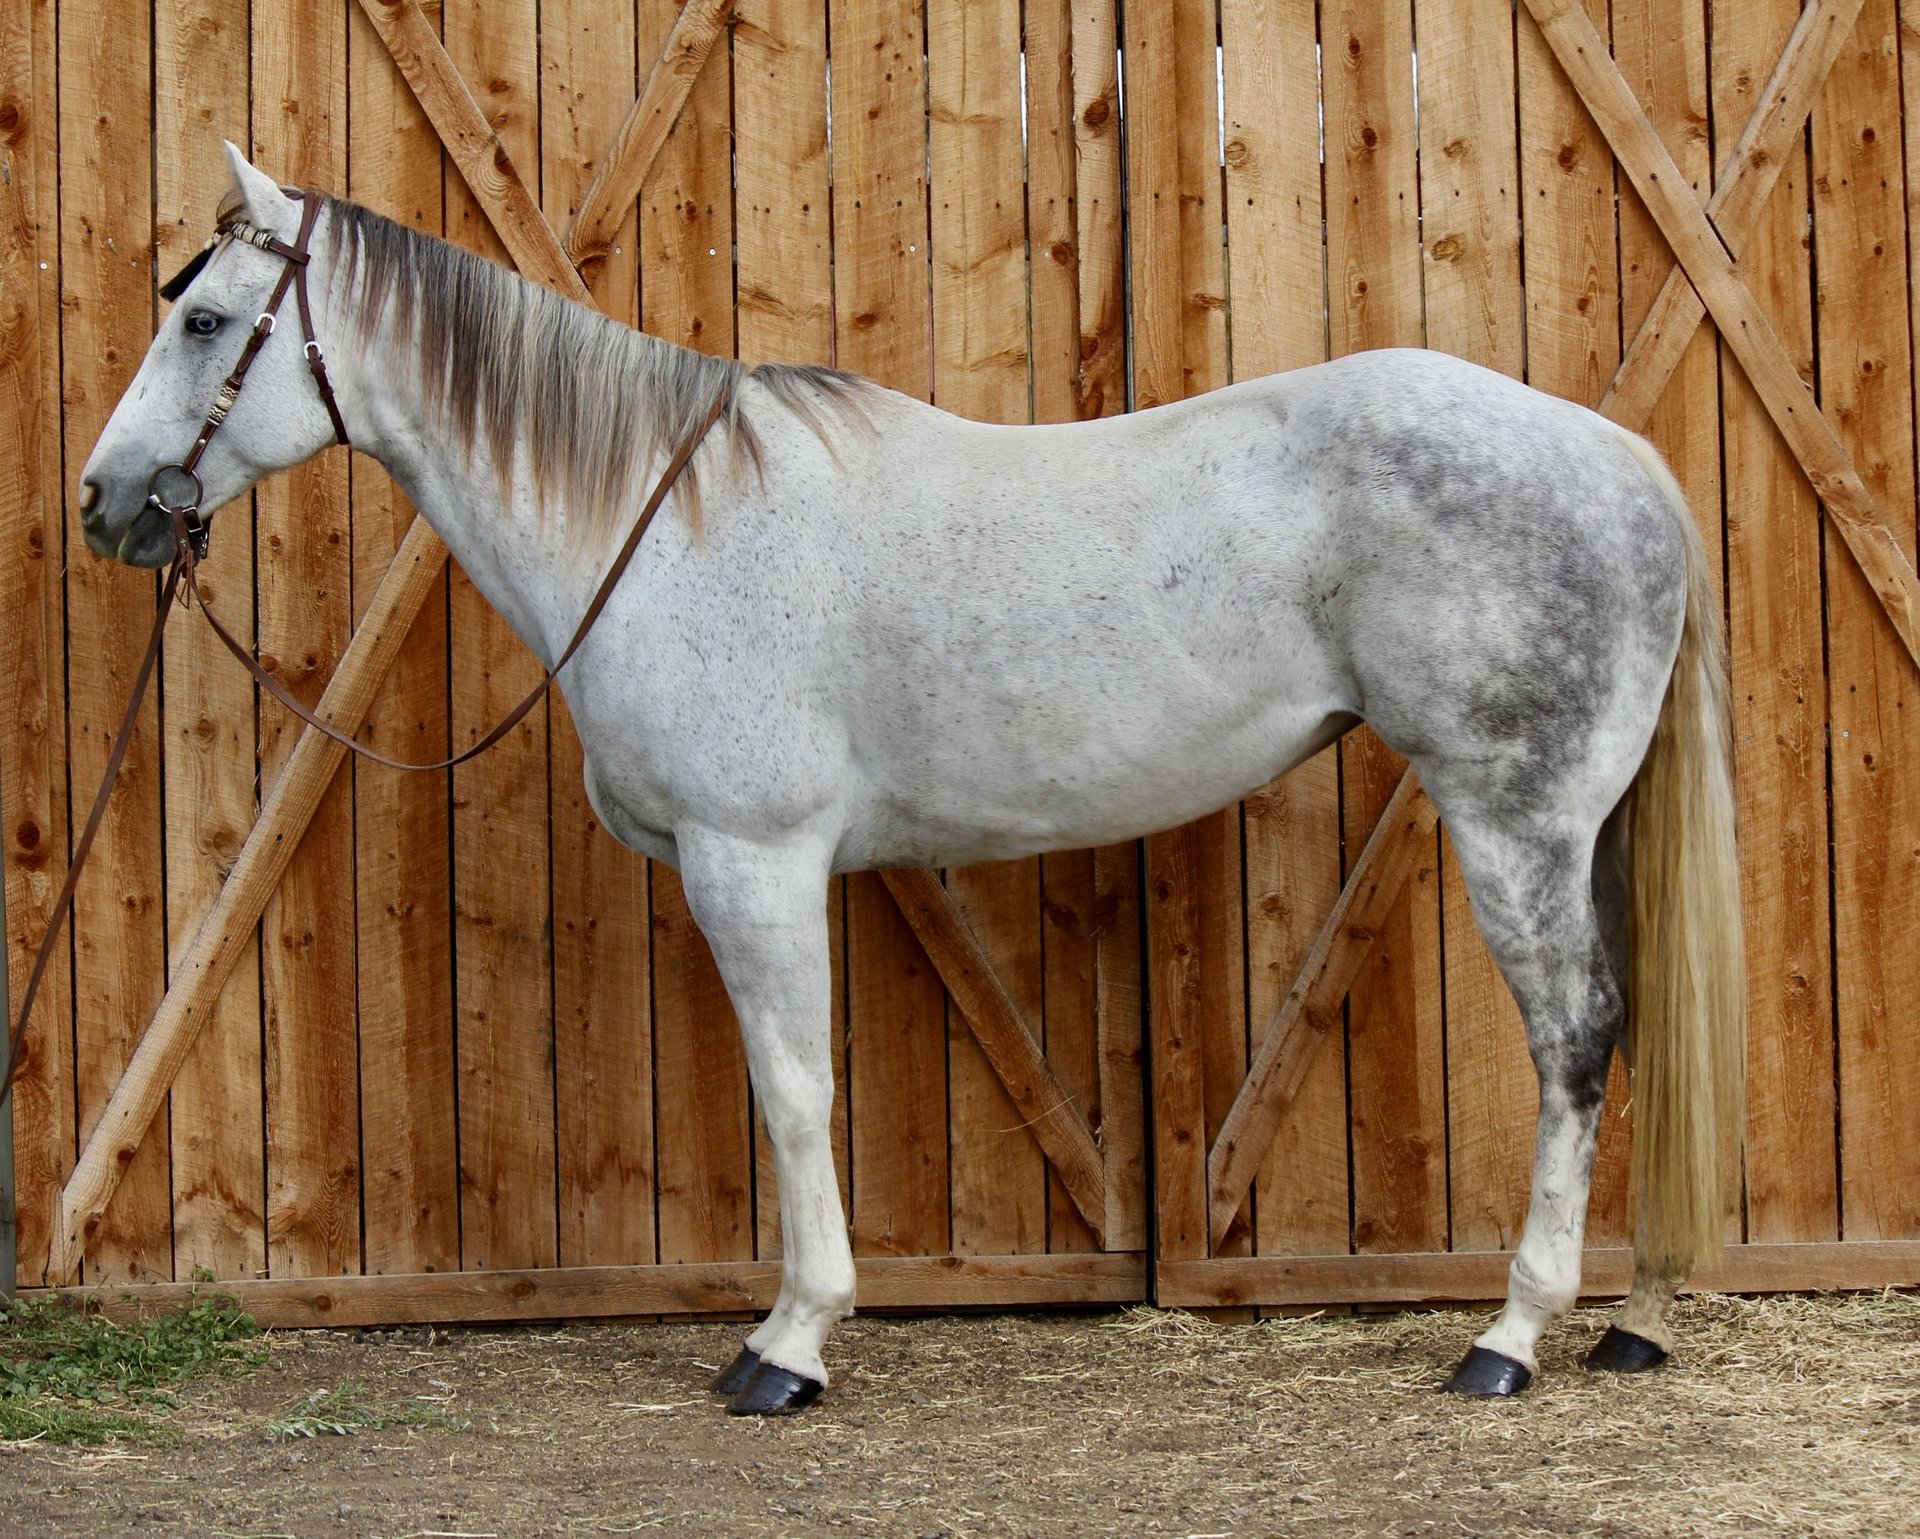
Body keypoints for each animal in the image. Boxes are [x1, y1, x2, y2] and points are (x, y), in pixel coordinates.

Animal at [79, 144, 1745, 1415]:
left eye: (210, 318)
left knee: (1576, 1040)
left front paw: (790, 1343)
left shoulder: (751, 857)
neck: (664, 520)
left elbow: (794, 1088)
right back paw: (1634, 1317)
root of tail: (1620, 458)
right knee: (1637, 1031)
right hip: (1584, 825)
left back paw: (1507, 1335)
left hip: (1516, 820)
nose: (103, 502)